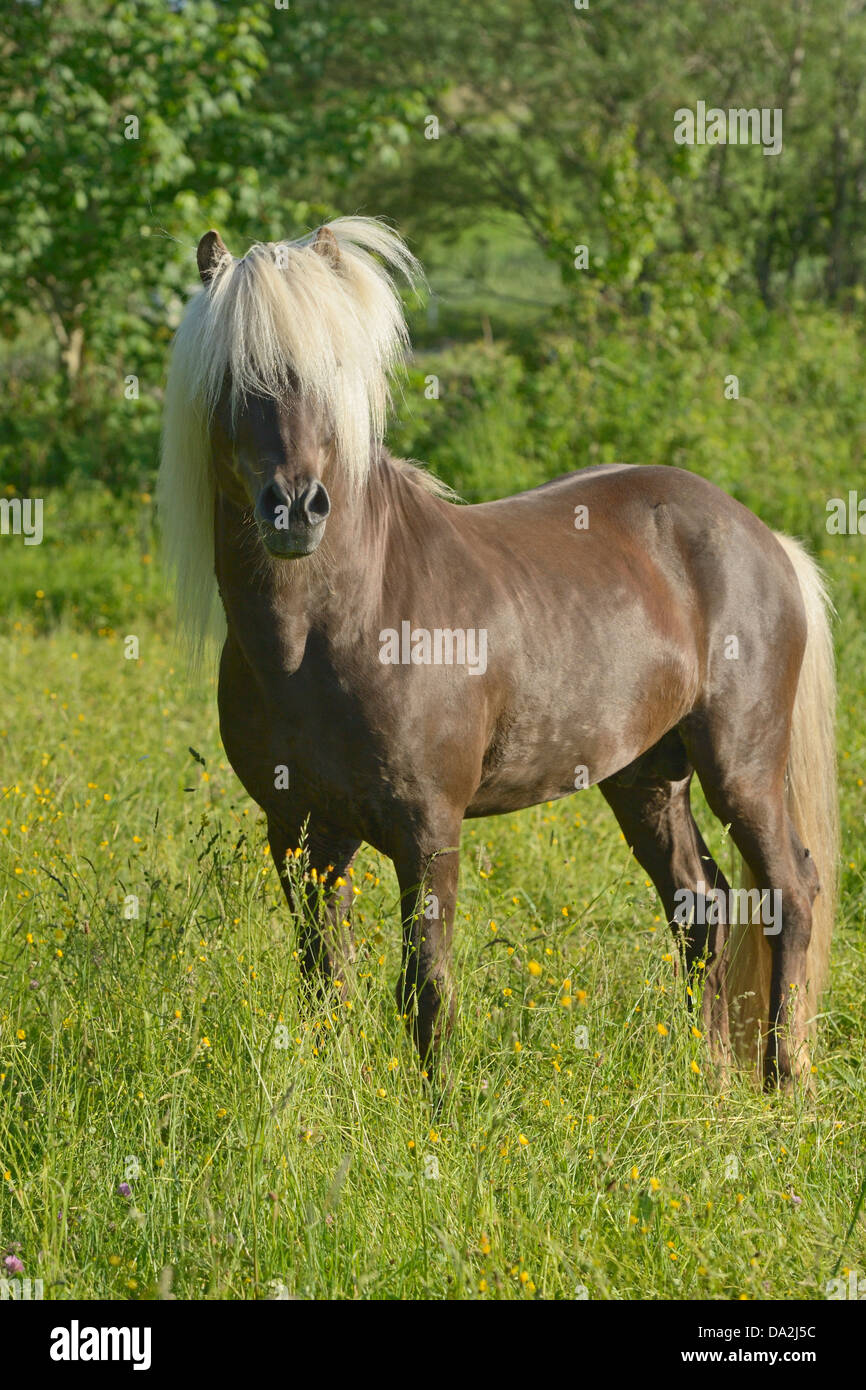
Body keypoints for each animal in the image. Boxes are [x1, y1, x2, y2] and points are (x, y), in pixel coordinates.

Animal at [158, 216, 838, 1090]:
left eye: (332, 371)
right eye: (236, 376)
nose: (298, 509)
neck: (331, 633)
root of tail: (764, 537)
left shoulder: (428, 828)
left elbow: (427, 981)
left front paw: (436, 1105)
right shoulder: (300, 830)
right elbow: (323, 975)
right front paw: (329, 1090)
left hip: (743, 766)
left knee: (790, 892)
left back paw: (784, 1082)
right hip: (647, 777)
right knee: (701, 908)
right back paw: (711, 1080)